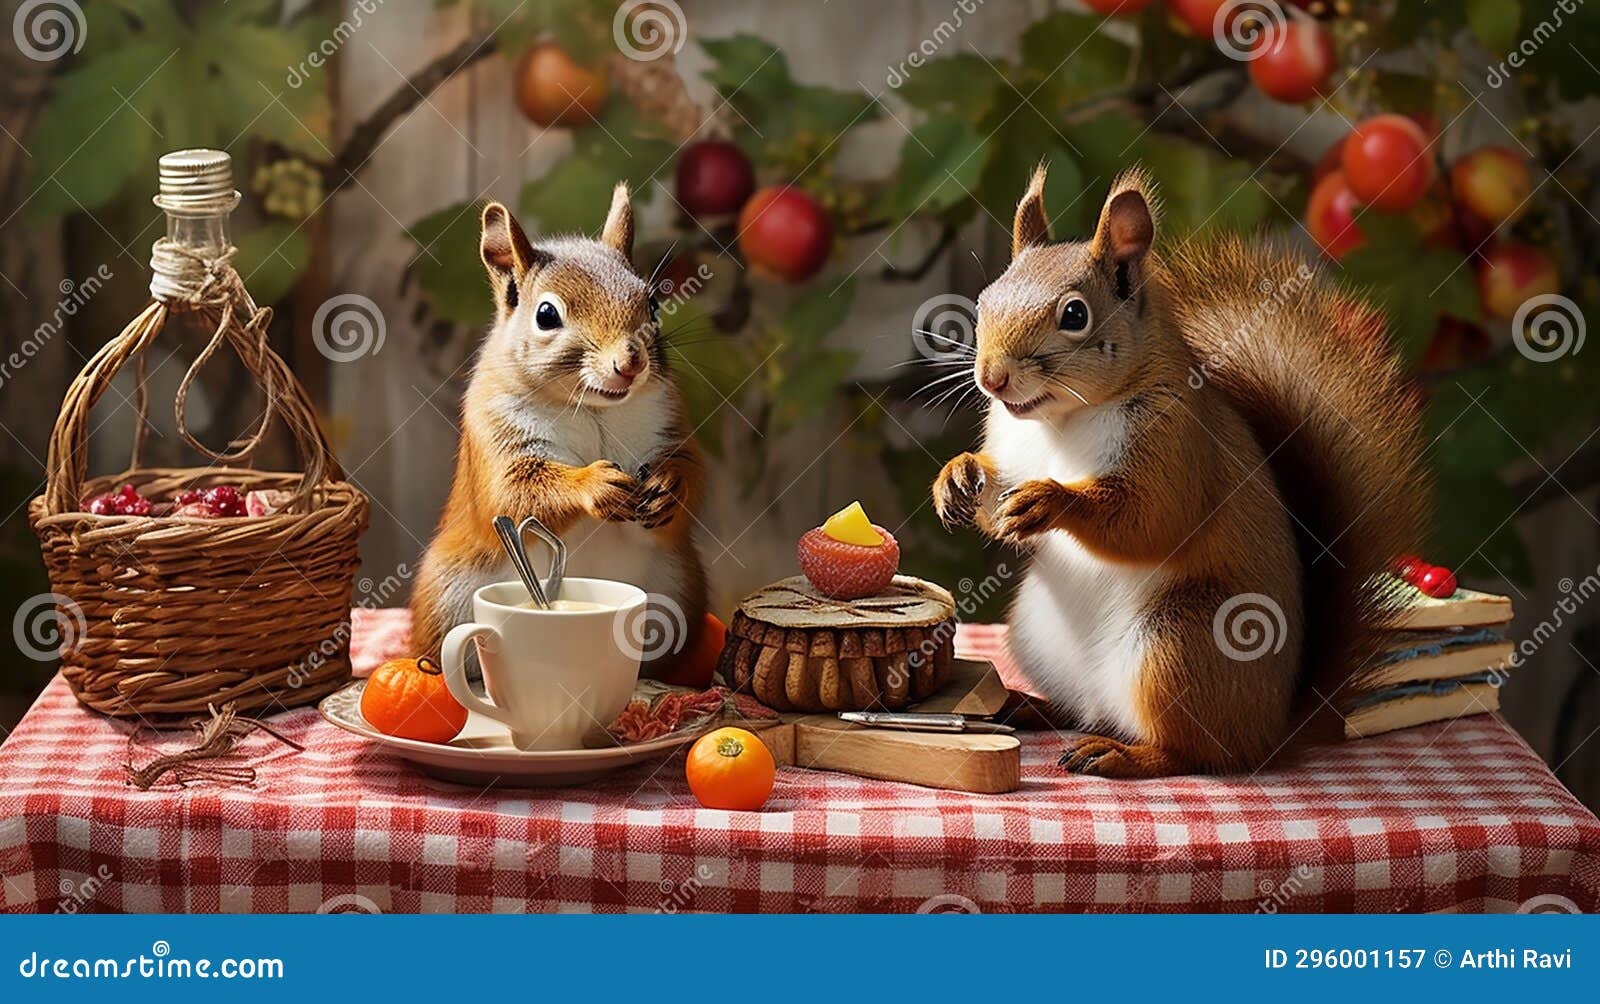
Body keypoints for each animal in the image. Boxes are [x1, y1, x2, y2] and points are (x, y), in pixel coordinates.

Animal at [410, 183, 708, 677]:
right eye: (546, 315)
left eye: (652, 303)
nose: (630, 362)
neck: (592, 409)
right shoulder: (496, 434)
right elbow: (515, 491)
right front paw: (594, 484)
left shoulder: (671, 423)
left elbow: (691, 471)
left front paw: (668, 485)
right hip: (445, 594)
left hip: (679, 593)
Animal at [932, 166, 1429, 778]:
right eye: (984, 301)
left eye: (1075, 315)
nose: (992, 378)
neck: (1062, 419)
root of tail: (1274, 728)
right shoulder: (1012, 447)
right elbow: (993, 488)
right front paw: (956, 478)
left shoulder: (1177, 445)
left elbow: (1153, 520)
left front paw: (1052, 500)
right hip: (1039, 638)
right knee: (1084, 712)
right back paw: (1031, 707)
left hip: (1183, 644)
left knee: (1195, 752)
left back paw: (1121, 754)